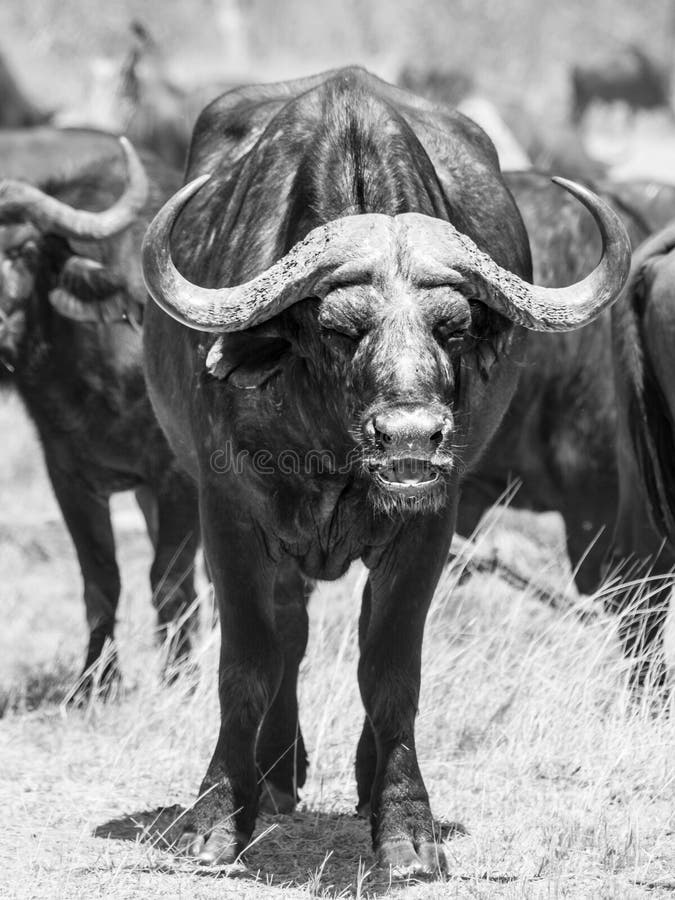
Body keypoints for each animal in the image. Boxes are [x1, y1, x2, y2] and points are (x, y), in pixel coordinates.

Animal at [0, 128, 199, 692]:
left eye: (21, 249)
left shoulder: (179, 477)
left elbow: (168, 578)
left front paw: (179, 677)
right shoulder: (67, 476)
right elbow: (100, 580)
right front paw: (95, 683)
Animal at [141, 68, 629, 872]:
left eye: (452, 328)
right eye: (338, 329)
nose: (410, 437)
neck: (334, 455)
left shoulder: (430, 526)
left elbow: (391, 669)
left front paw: (404, 829)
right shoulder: (229, 515)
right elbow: (247, 662)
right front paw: (213, 817)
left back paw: (359, 782)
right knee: (290, 634)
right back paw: (275, 778)